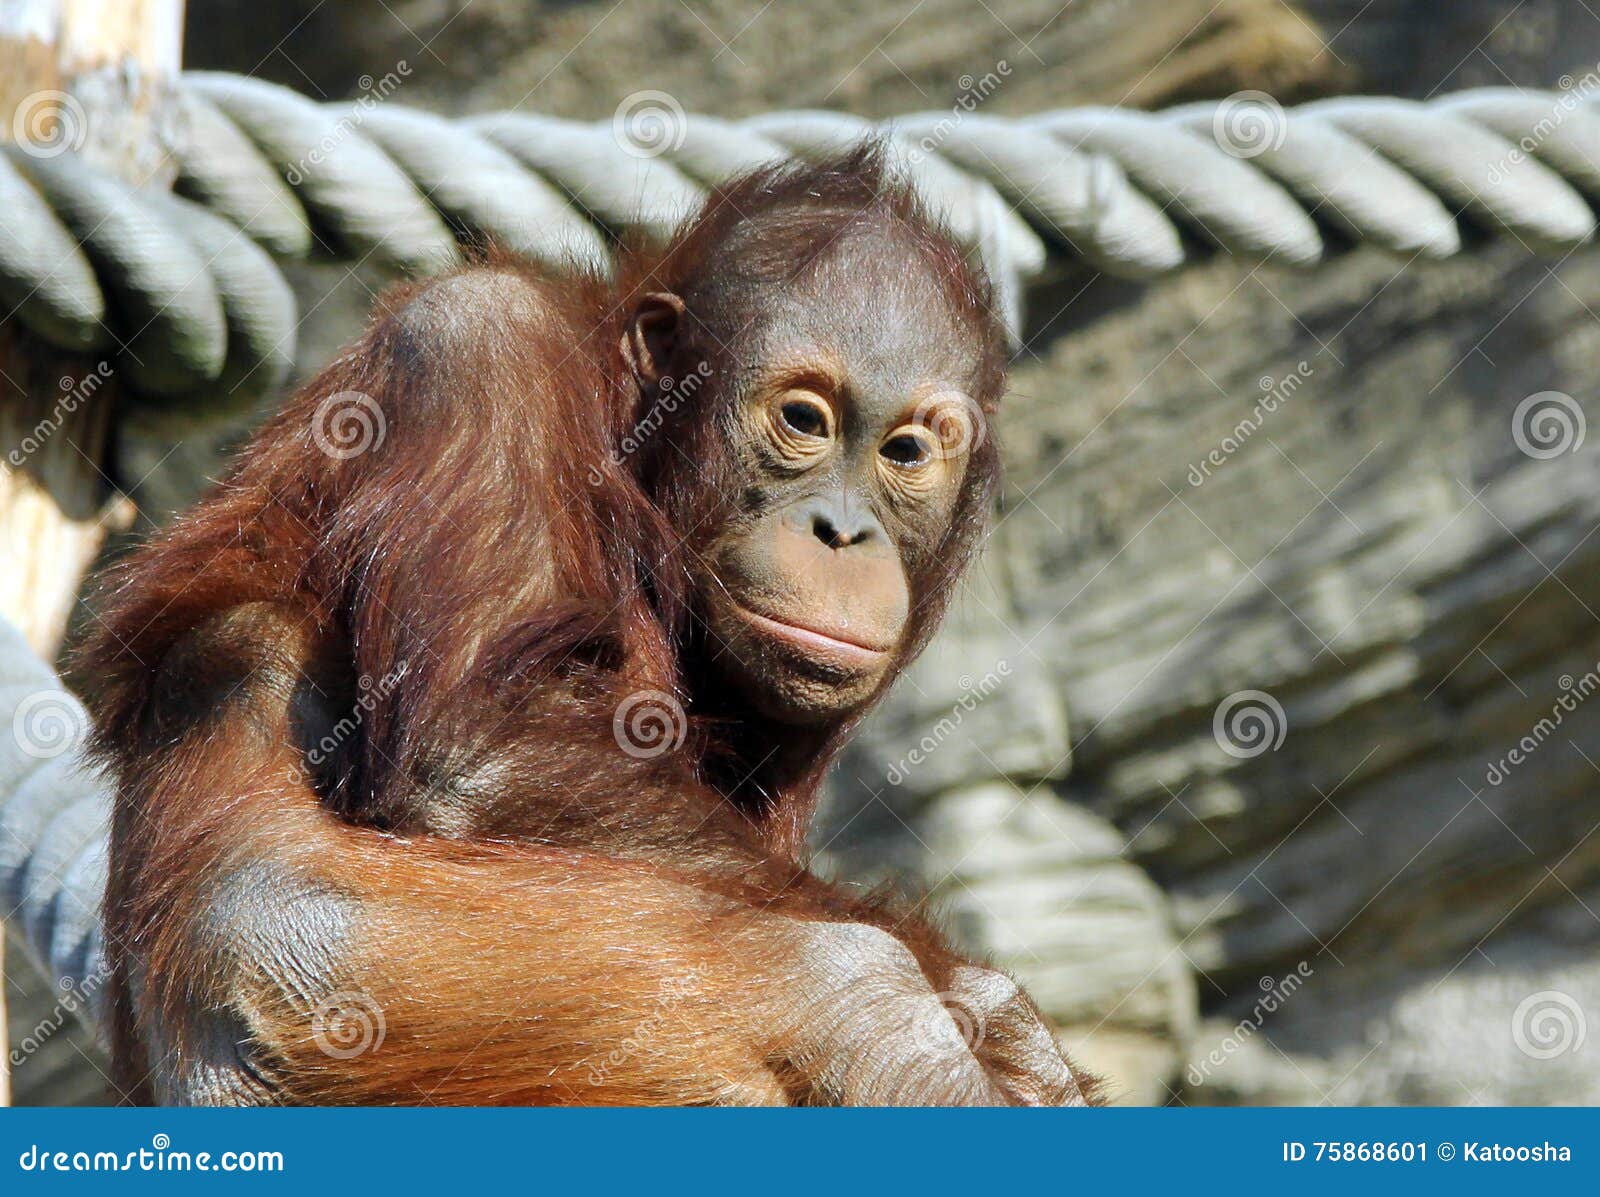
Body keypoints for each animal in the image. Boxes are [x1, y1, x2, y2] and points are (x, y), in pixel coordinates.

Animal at [81, 145, 1095, 1106]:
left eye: (906, 451)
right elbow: (477, 746)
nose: (844, 531)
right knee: (848, 987)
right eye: (804, 419)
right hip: (328, 976)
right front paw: (991, 1009)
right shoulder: (479, 341)